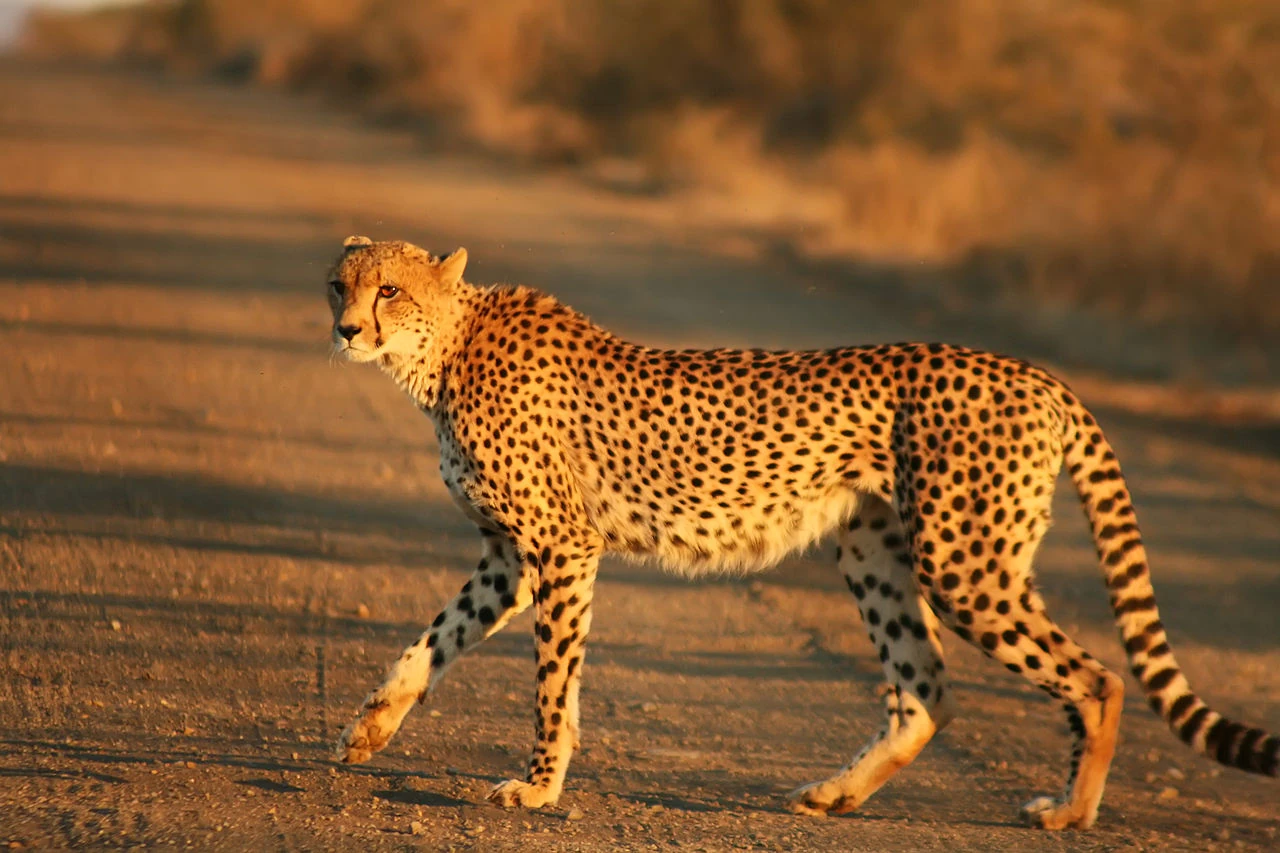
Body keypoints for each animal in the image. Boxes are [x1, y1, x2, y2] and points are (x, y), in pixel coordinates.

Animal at [326, 235, 1277, 829]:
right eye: (342, 284)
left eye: (390, 291)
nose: (344, 329)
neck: (444, 350)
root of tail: (1034, 371)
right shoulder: (508, 557)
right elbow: (433, 639)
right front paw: (371, 727)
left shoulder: (561, 546)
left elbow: (553, 681)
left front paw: (537, 786)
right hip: (876, 550)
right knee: (926, 691)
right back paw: (838, 794)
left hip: (964, 562)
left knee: (1098, 677)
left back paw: (1072, 810)